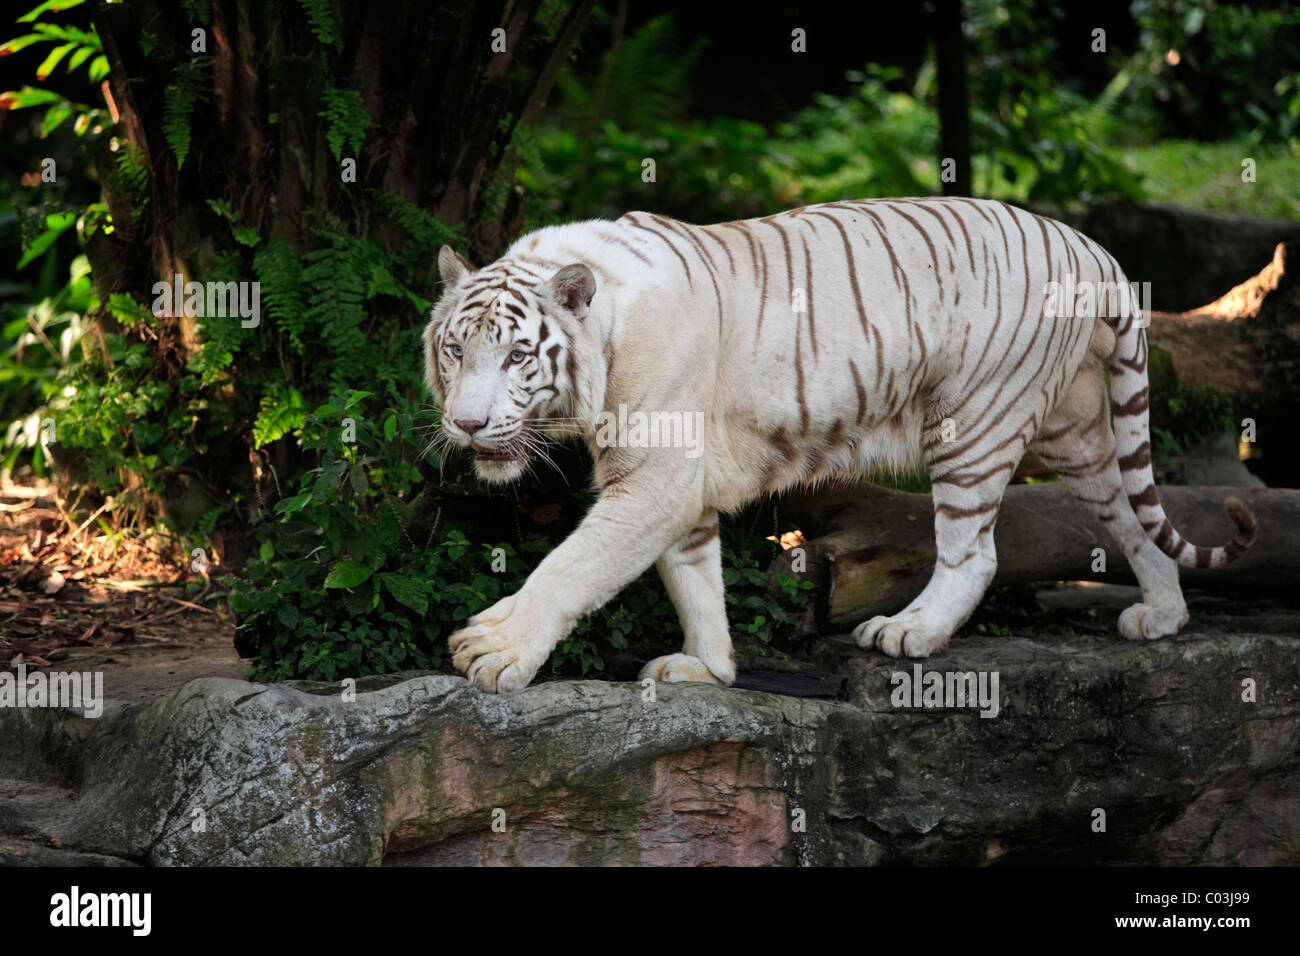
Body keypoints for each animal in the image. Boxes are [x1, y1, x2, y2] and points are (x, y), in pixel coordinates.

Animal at [424, 197, 1257, 694]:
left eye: (517, 357)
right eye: (455, 351)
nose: (467, 425)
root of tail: (1091, 248)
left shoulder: (655, 477)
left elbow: (575, 565)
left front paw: (496, 652)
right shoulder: (679, 487)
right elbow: (694, 577)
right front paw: (709, 666)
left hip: (973, 419)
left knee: (975, 554)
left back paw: (909, 631)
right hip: (1078, 432)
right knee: (1130, 513)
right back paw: (1164, 615)